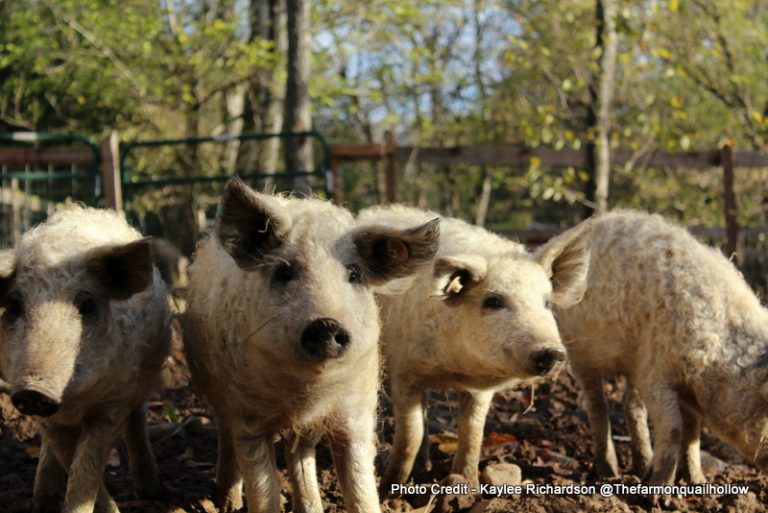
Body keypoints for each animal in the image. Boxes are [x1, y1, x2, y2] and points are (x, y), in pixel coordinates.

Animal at [0, 207, 170, 513]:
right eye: (15, 306)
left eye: (86, 305)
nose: (34, 390)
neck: (73, 402)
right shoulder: (45, 416)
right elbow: (68, 457)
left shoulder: (113, 402)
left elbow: (86, 468)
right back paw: (42, 501)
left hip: (142, 379)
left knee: (136, 421)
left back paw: (153, 492)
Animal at [183, 178, 440, 513]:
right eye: (283, 271)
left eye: (355, 274)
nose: (326, 324)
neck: (307, 394)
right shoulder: (249, 416)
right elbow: (263, 490)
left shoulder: (356, 411)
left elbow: (360, 486)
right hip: (216, 394)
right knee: (227, 438)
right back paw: (227, 502)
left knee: (300, 453)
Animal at [356, 205, 592, 491]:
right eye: (493, 301)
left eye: (546, 302)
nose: (552, 351)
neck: (454, 371)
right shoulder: (404, 372)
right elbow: (410, 433)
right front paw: (391, 487)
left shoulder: (480, 391)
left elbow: (472, 433)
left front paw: (467, 485)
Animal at [556, 210, 768, 486]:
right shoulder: (655, 374)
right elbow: (674, 428)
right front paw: (658, 491)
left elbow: (692, 432)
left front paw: (698, 482)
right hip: (579, 353)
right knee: (597, 405)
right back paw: (609, 473)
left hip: (633, 364)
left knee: (631, 406)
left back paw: (640, 466)